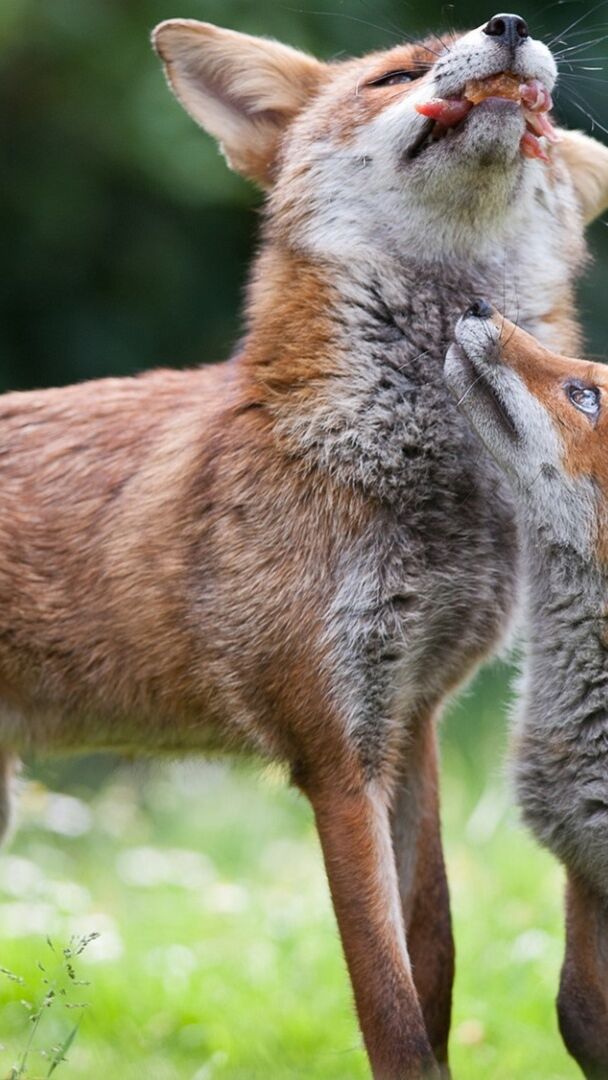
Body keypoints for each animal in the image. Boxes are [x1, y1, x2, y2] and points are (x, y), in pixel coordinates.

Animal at [1, 11, 608, 1079]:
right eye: (396, 76)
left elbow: (436, 962)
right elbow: (392, 1011)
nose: (511, 26)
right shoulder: (332, 750)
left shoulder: (411, 721)